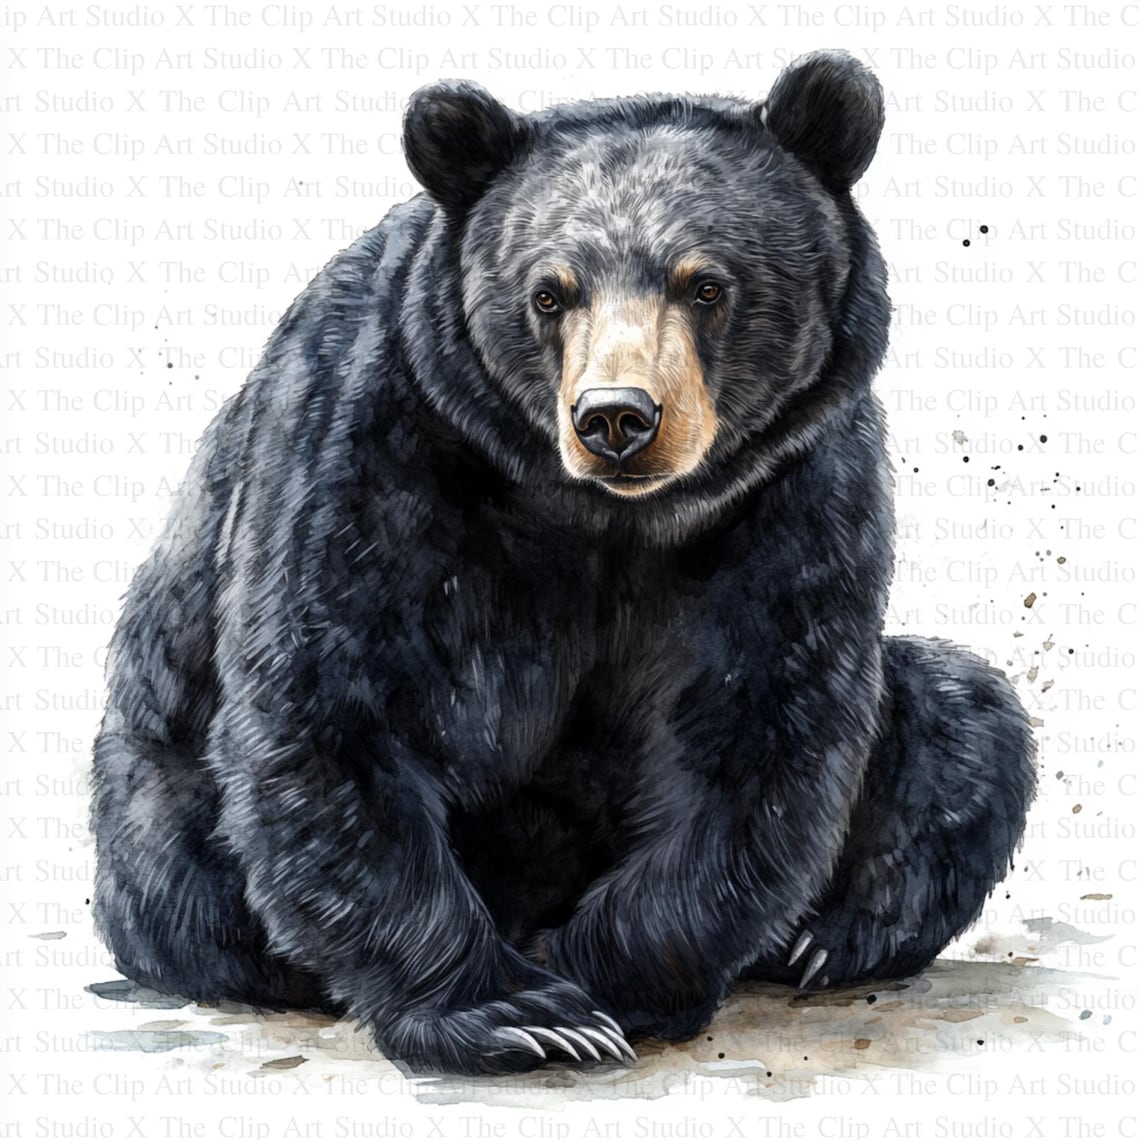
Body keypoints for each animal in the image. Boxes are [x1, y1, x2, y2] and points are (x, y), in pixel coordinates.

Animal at [91, 50, 1036, 1076]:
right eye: (551, 292)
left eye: (705, 285)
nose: (616, 417)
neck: (606, 514)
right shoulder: (368, 438)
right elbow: (329, 698)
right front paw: (516, 1011)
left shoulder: (796, 486)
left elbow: (760, 725)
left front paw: (603, 979)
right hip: (156, 802)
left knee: (963, 709)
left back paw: (828, 941)